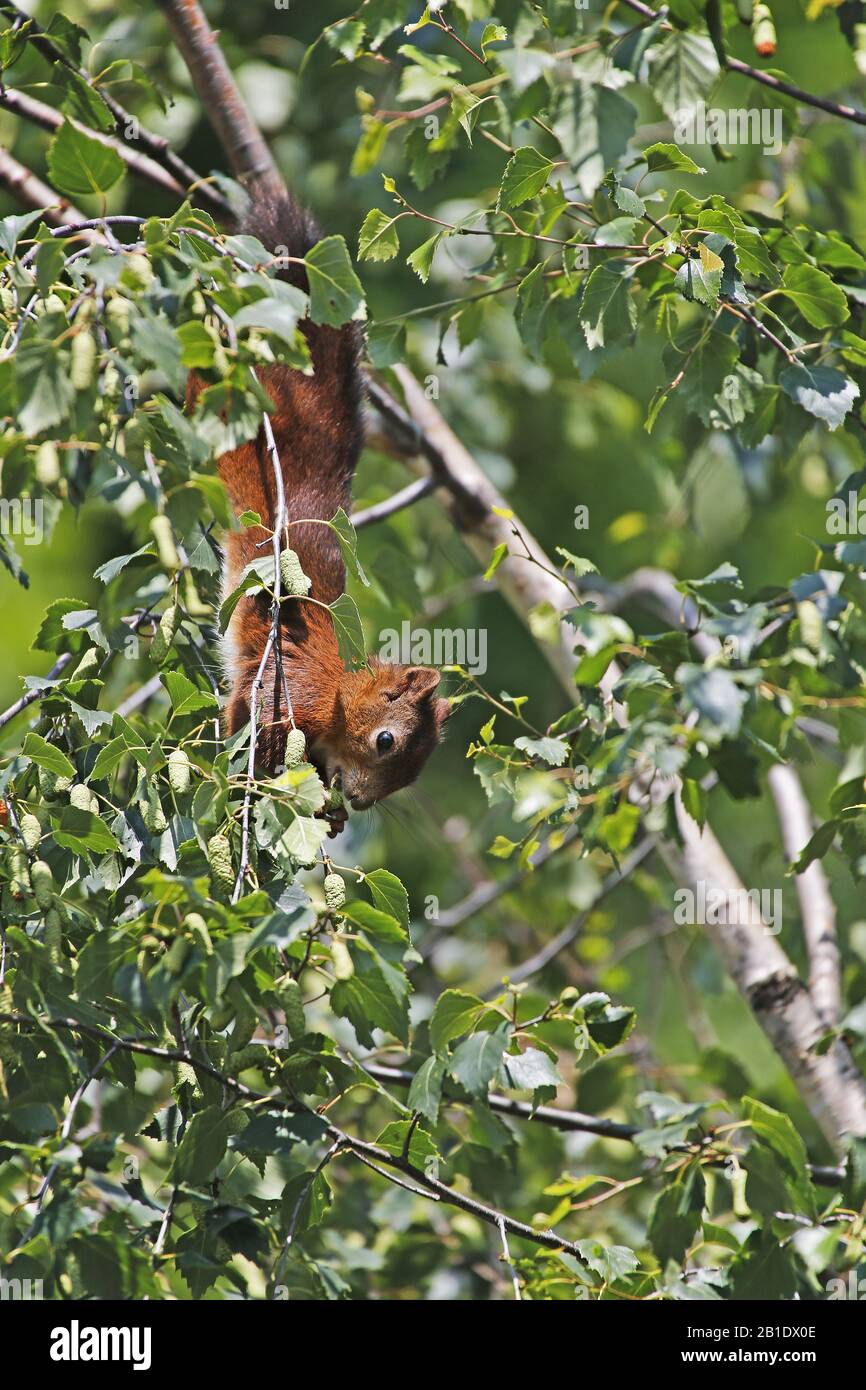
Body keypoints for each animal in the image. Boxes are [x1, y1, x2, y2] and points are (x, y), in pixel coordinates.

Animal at [188, 193, 450, 827]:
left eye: (412, 776)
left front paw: (329, 814)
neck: (336, 697)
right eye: (386, 740)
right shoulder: (290, 689)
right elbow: (248, 715)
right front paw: (248, 783)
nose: (360, 801)